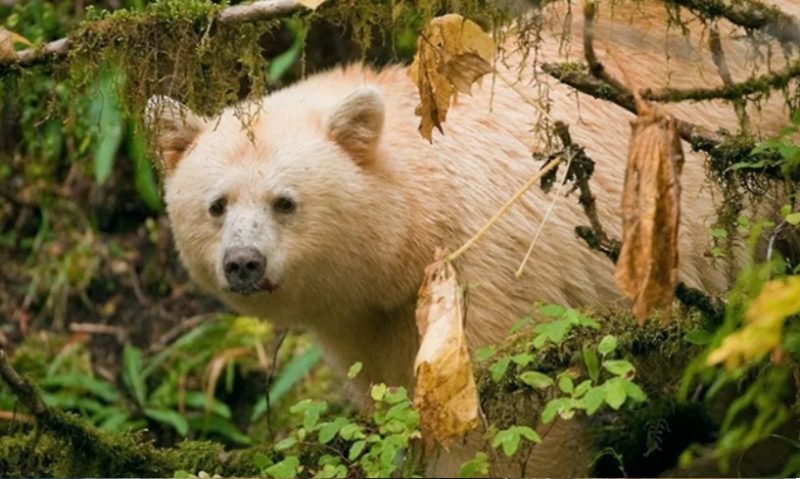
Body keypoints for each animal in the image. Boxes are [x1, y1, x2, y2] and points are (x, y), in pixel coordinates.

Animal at [148, 1, 792, 475]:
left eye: (284, 201)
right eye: (217, 205)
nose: (244, 263)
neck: (423, 217)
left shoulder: (491, 285)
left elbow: (499, 425)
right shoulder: (375, 324)